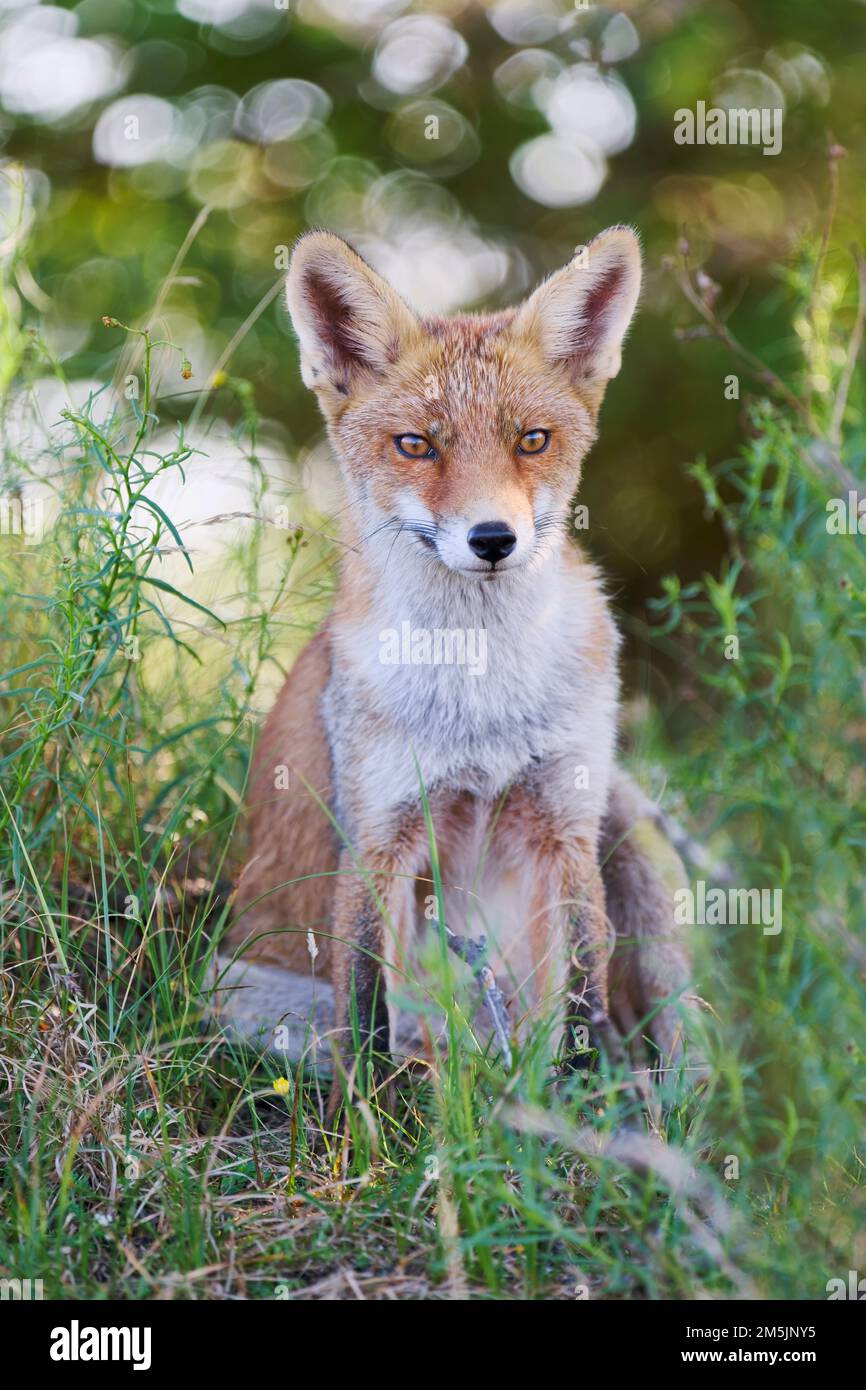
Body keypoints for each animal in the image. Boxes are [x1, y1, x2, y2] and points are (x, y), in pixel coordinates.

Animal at [218, 224, 703, 1112]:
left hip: (633, 836)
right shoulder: (379, 837)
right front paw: (360, 1135)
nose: (492, 539)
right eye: (418, 445)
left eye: (531, 441)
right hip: (243, 994)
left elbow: (579, 1013)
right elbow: (364, 1026)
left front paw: (584, 1126)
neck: (481, 703)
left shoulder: (566, 831)